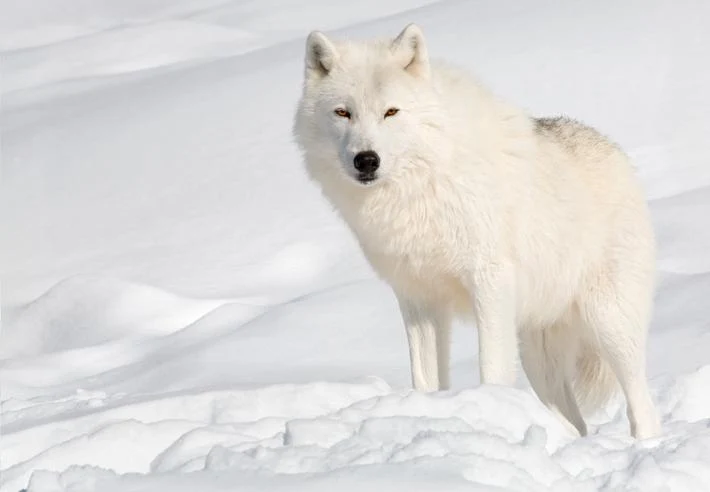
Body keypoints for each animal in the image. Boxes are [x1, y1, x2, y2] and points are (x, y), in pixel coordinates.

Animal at [292, 23, 661, 439]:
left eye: (391, 112)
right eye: (343, 113)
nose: (366, 160)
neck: (420, 187)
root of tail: (618, 154)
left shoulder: (489, 281)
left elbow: (492, 368)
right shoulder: (418, 298)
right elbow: (425, 378)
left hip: (610, 325)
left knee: (643, 408)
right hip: (539, 356)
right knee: (575, 424)